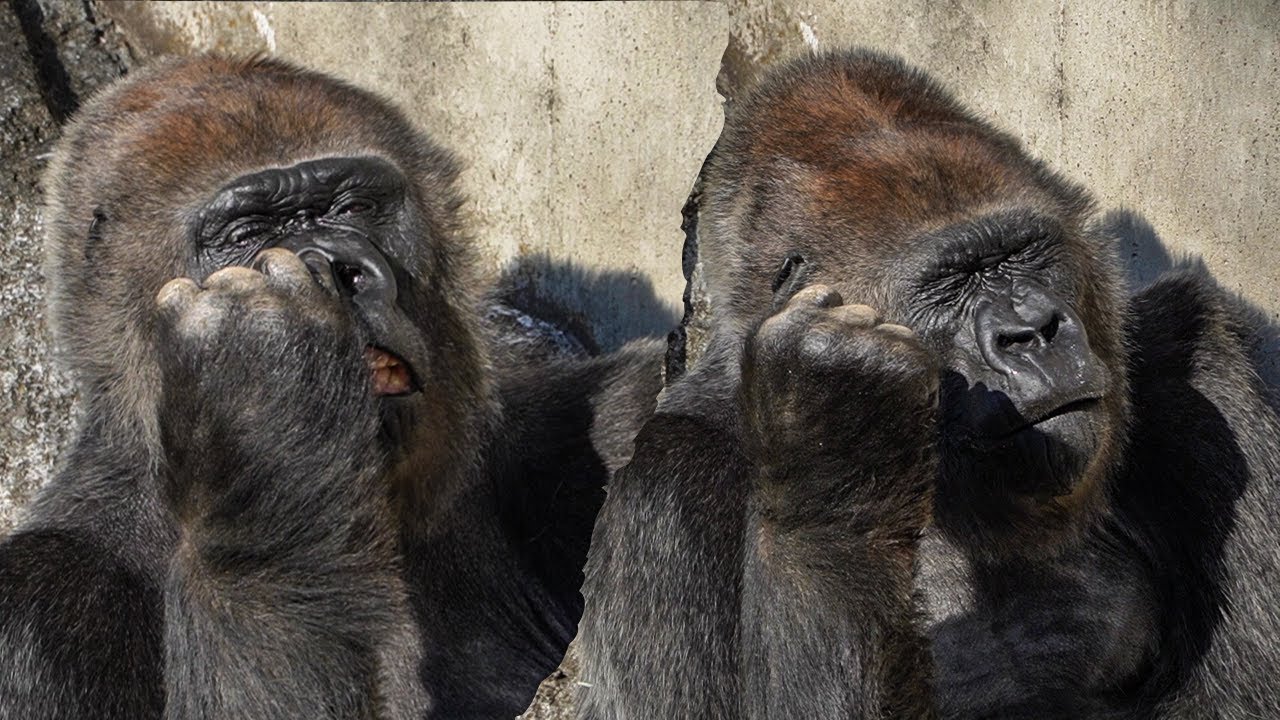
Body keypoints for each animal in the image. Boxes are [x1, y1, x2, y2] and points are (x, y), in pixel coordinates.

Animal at [0, 55, 662, 719]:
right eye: (246, 231)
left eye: (351, 207)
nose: (343, 270)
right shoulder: (35, 610)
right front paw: (263, 406)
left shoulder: (614, 412)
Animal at [577, 49, 1280, 719]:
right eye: (951, 282)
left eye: (1026, 254)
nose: (1033, 332)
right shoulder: (667, 488)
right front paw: (834, 437)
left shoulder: (1187, 354)